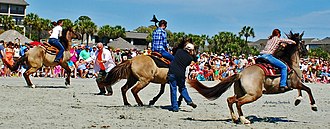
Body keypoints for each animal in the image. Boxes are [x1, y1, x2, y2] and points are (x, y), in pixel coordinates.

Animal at [187, 31, 316, 124]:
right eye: (303, 42)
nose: (306, 53)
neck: (290, 63)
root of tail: (241, 74)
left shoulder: (296, 84)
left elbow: (302, 90)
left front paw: (298, 100)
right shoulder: (295, 83)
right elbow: (308, 89)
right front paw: (313, 106)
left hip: (242, 93)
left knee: (230, 100)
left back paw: (236, 118)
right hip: (254, 94)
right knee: (238, 103)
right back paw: (244, 120)